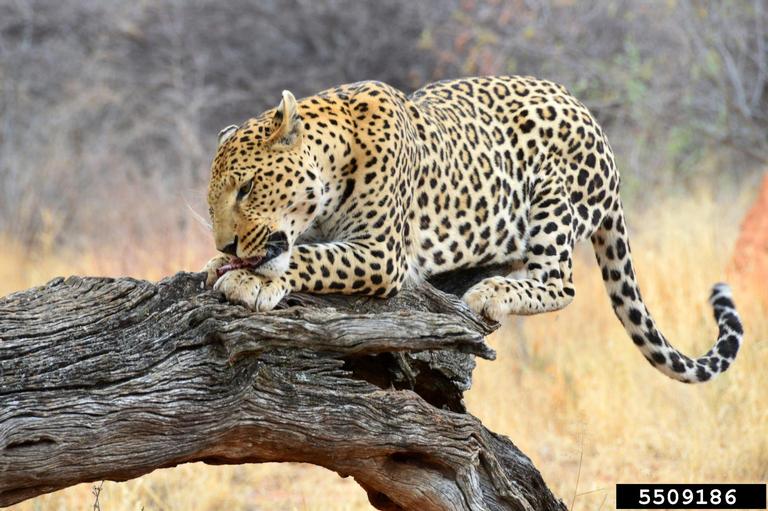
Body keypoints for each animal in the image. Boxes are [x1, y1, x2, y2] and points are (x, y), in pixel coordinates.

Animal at [203, 76, 744, 383]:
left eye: (247, 188)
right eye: (212, 203)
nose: (226, 241)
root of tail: (593, 120)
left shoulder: (383, 254)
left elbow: (314, 257)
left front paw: (246, 278)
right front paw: (222, 264)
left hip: (551, 193)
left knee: (560, 281)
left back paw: (493, 293)